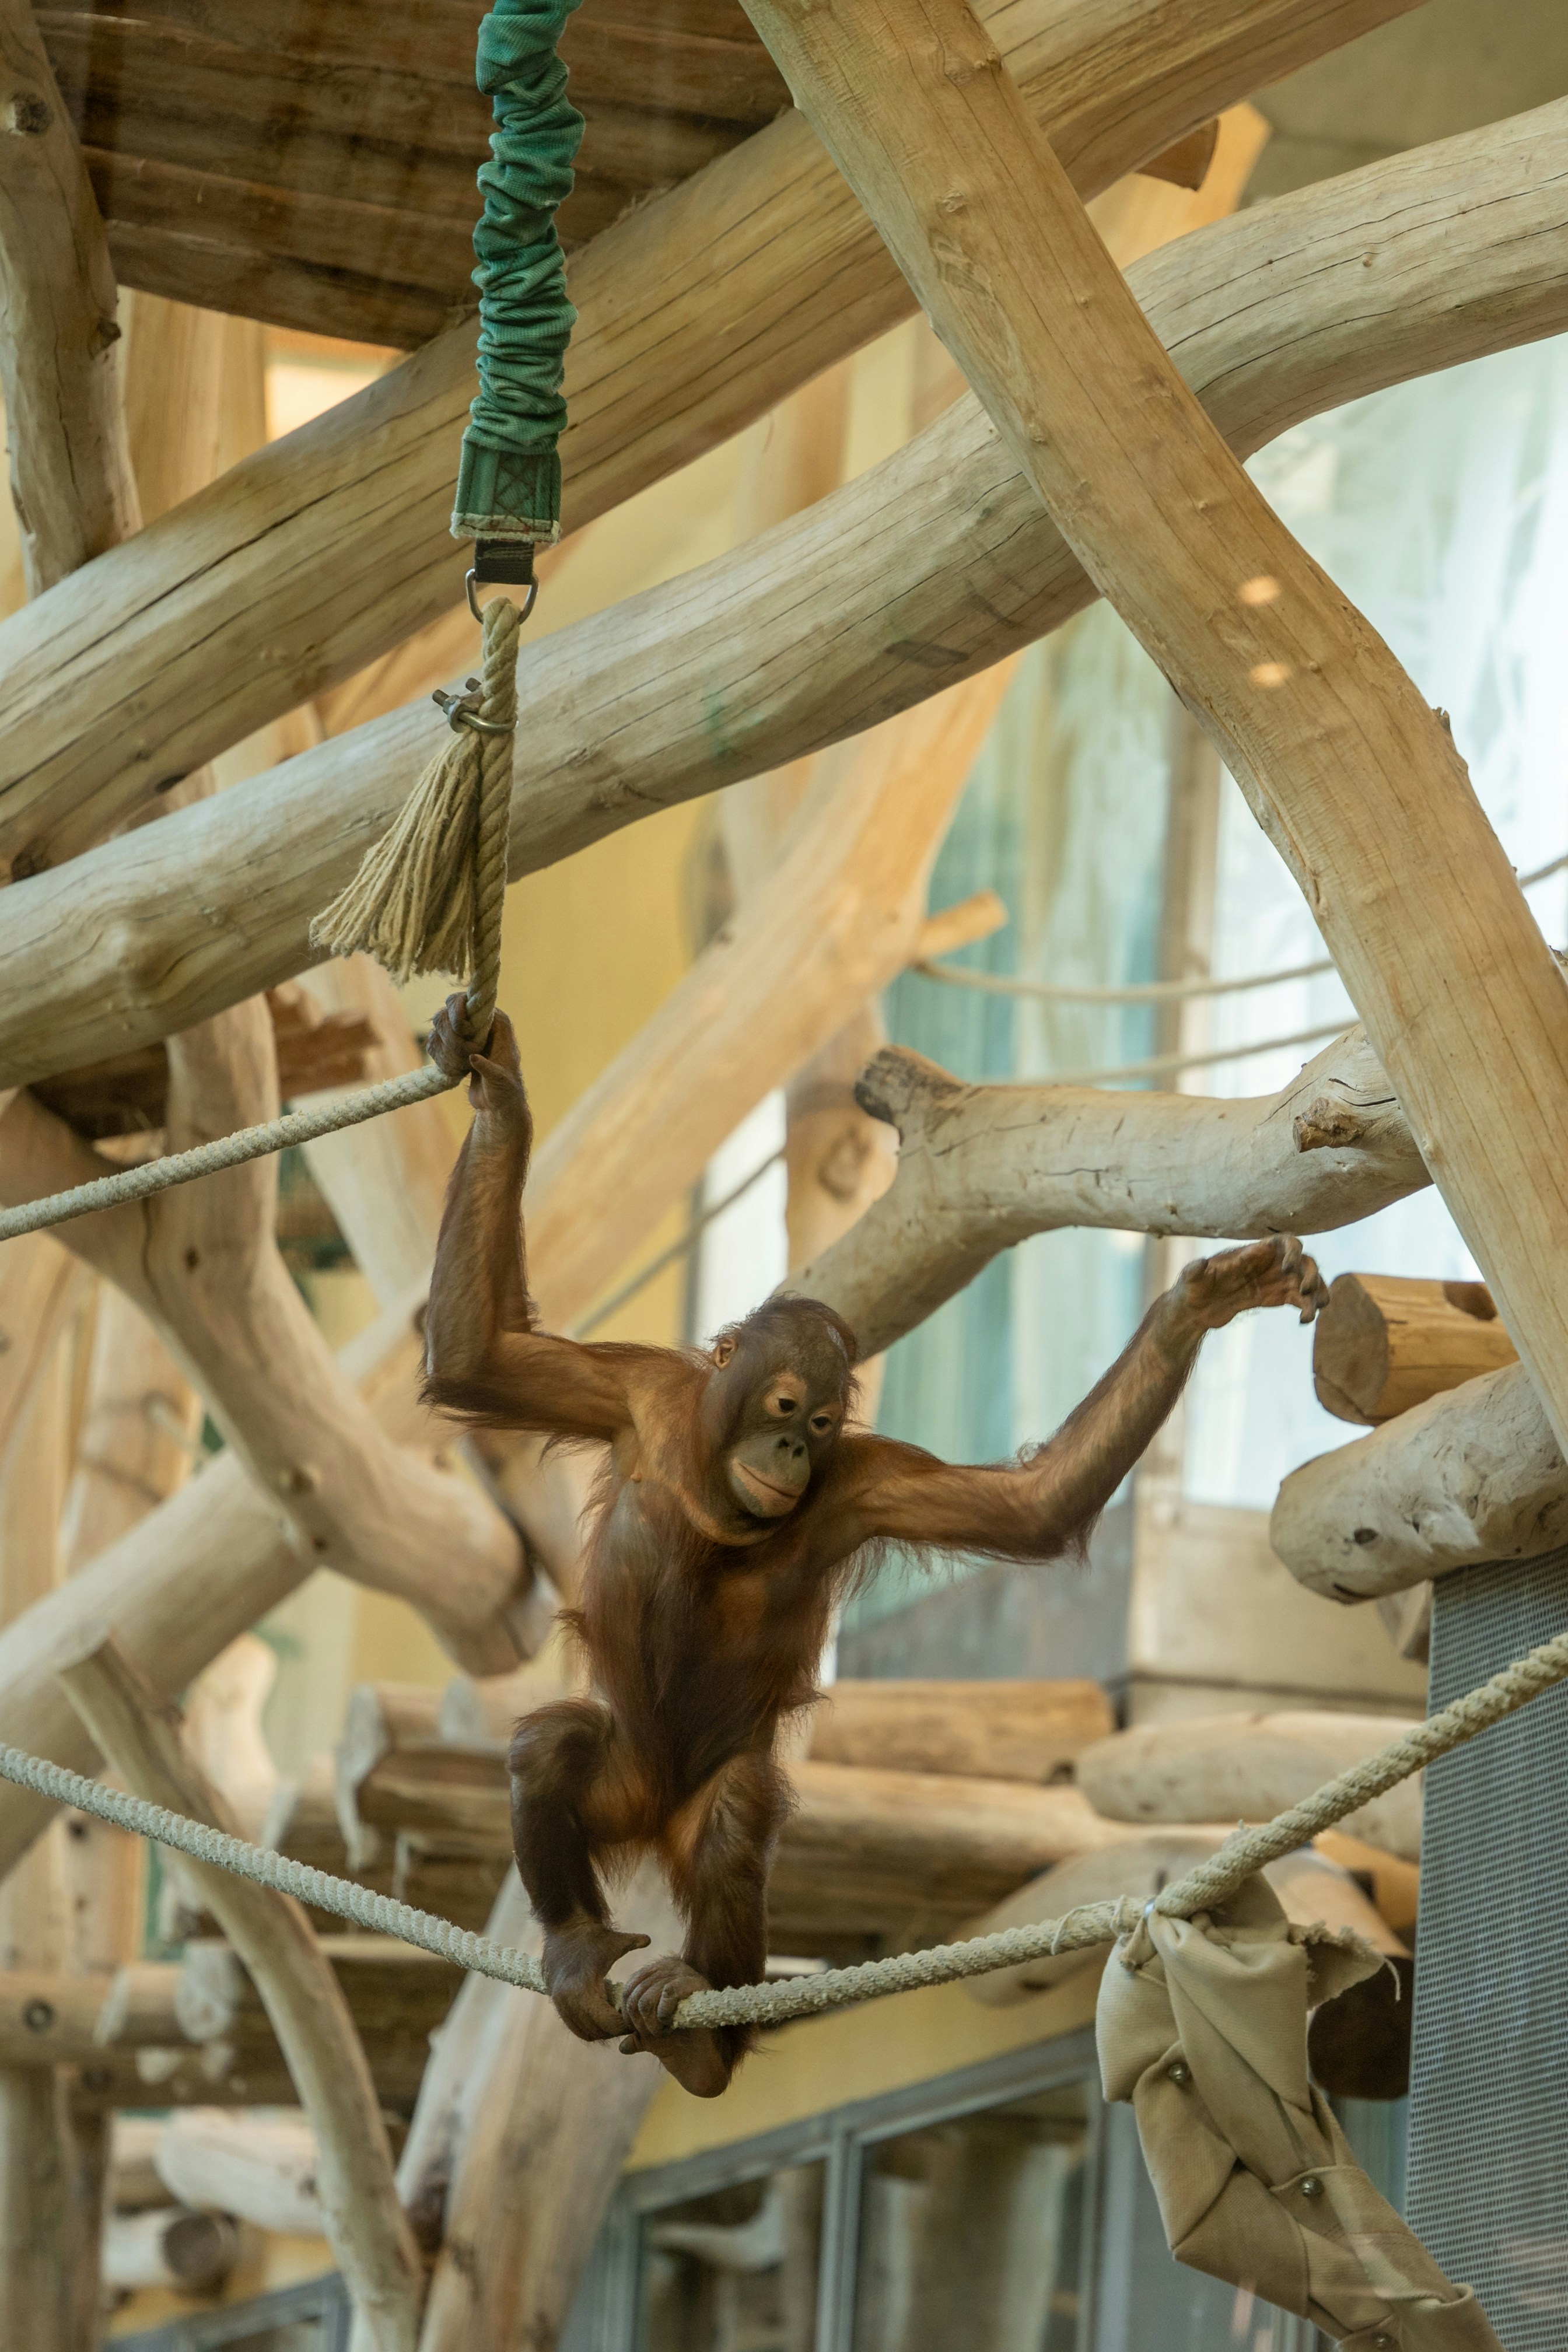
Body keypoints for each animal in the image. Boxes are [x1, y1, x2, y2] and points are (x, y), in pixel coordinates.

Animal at [422, 1000, 1328, 2096]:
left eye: (819, 1426)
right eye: (782, 1408)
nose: (787, 1451)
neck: (718, 1486)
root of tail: (651, 1822)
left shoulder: (864, 1481)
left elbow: (1025, 1509)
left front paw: (1201, 1301)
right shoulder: (632, 1393)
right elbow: (481, 1358)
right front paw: (500, 1088)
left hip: (696, 1809)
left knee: (734, 1811)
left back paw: (701, 2026)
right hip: (622, 1778)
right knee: (550, 1748)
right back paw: (574, 1946)